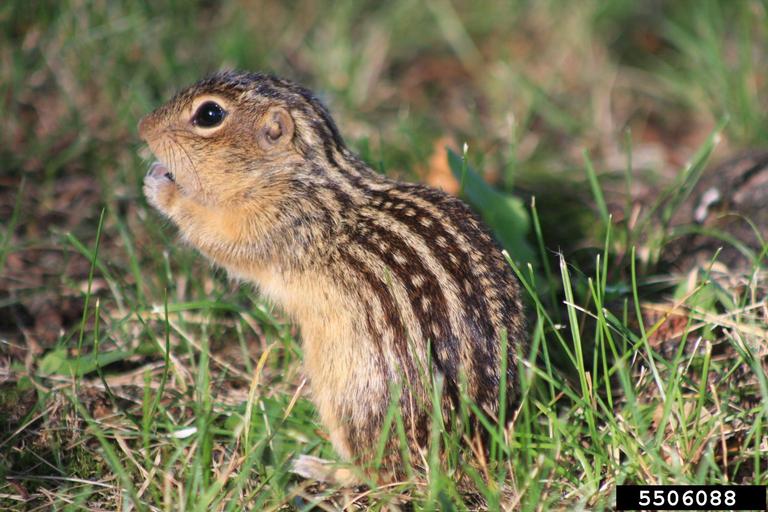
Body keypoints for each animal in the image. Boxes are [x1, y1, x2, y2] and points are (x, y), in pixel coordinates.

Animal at [139, 71, 526, 484]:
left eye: (209, 114)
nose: (143, 126)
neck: (294, 178)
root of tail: (464, 454)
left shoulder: (274, 225)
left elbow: (214, 236)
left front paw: (163, 187)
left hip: (346, 400)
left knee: (377, 474)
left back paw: (317, 466)